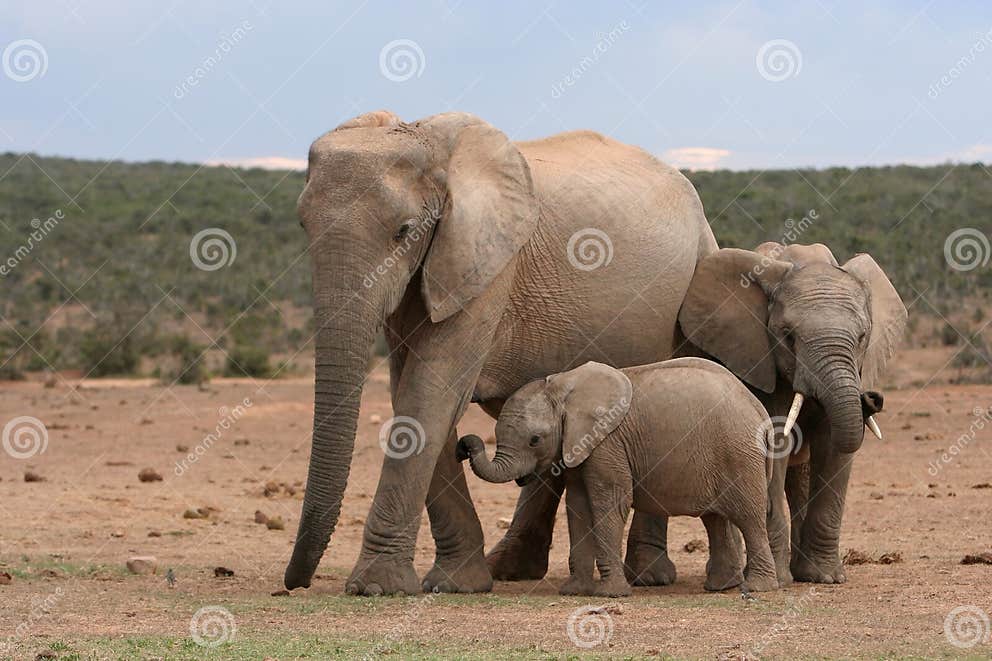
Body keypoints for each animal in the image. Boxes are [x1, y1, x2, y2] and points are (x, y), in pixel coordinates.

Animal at [284, 109, 718, 595]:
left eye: (404, 232)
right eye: (302, 226)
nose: (295, 583)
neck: (433, 147)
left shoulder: (489, 266)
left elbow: (429, 393)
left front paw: (376, 587)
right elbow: (413, 393)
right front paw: (459, 584)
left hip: (699, 268)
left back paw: (647, 577)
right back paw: (511, 568)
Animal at [457, 359, 780, 597]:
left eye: (535, 440)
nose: (462, 446)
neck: (563, 388)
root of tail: (758, 410)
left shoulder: (607, 444)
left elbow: (609, 504)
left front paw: (610, 594)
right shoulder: (580, 447)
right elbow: (578, 507)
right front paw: (574, 592)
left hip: (738, 453)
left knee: (748, 517)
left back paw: (757, 588)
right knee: (715, 519)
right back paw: (720, 587)